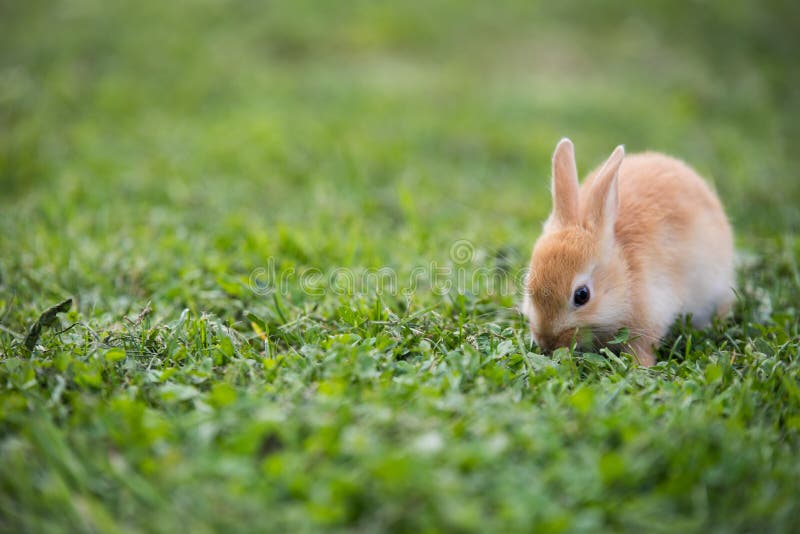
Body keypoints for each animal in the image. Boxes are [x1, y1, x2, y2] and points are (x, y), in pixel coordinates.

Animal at [522, 138, 735, 366]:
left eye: (582, 295)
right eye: (528, 283)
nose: (546, 341)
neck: (624, 274)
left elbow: (642, 346)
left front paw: (639, 365)